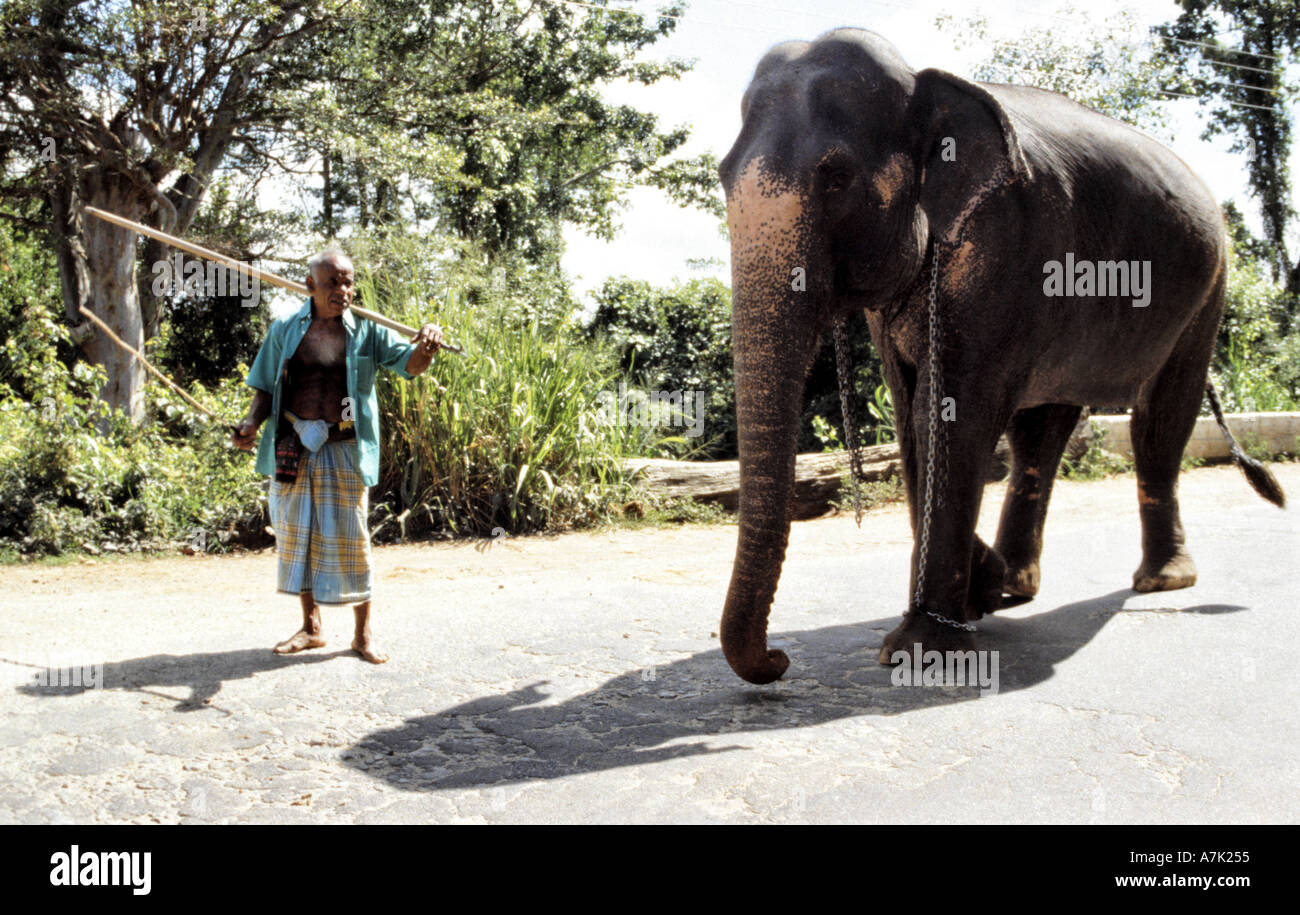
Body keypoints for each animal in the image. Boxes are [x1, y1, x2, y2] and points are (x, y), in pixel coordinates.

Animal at [716, 28, 1286, 685]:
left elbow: (950, 412)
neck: (924, 84)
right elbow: (912, 415)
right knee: (1043, 429)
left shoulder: (1007, 246)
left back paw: (1161, 580)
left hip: (1209, 286)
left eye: (835, 177)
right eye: (723, 174)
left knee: (1161, 419)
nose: (779, 660)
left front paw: (923, 648)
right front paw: (975, 595)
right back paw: (1016, 586)